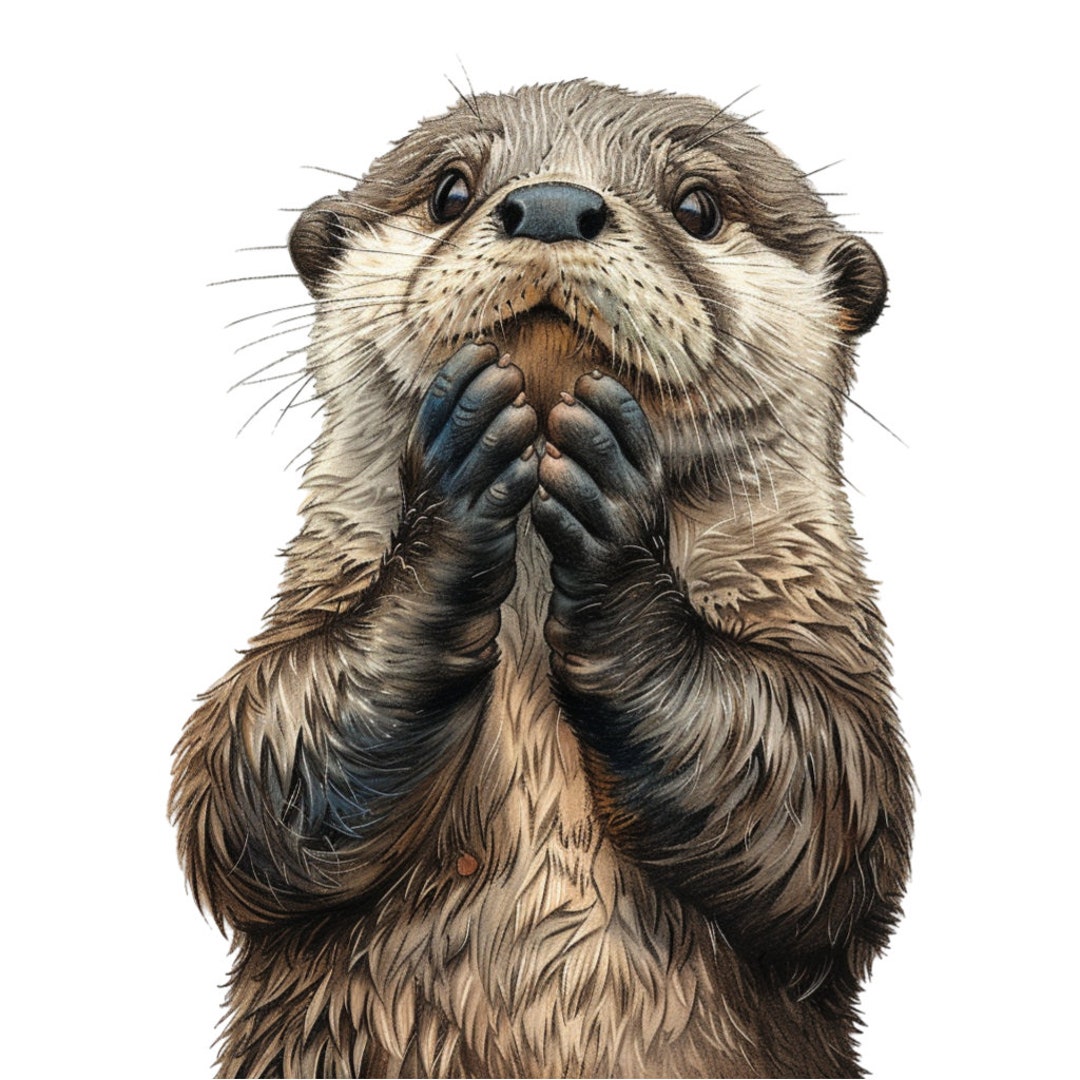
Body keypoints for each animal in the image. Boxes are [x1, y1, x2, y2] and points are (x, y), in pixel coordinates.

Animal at [171, 80, 912, 1079]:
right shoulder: (307, 609)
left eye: (698, 207)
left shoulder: (821, 630)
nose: (554, 204)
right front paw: (457, 494)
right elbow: (250, 779)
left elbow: (828, 802)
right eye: (449, 190)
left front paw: (614, 521)